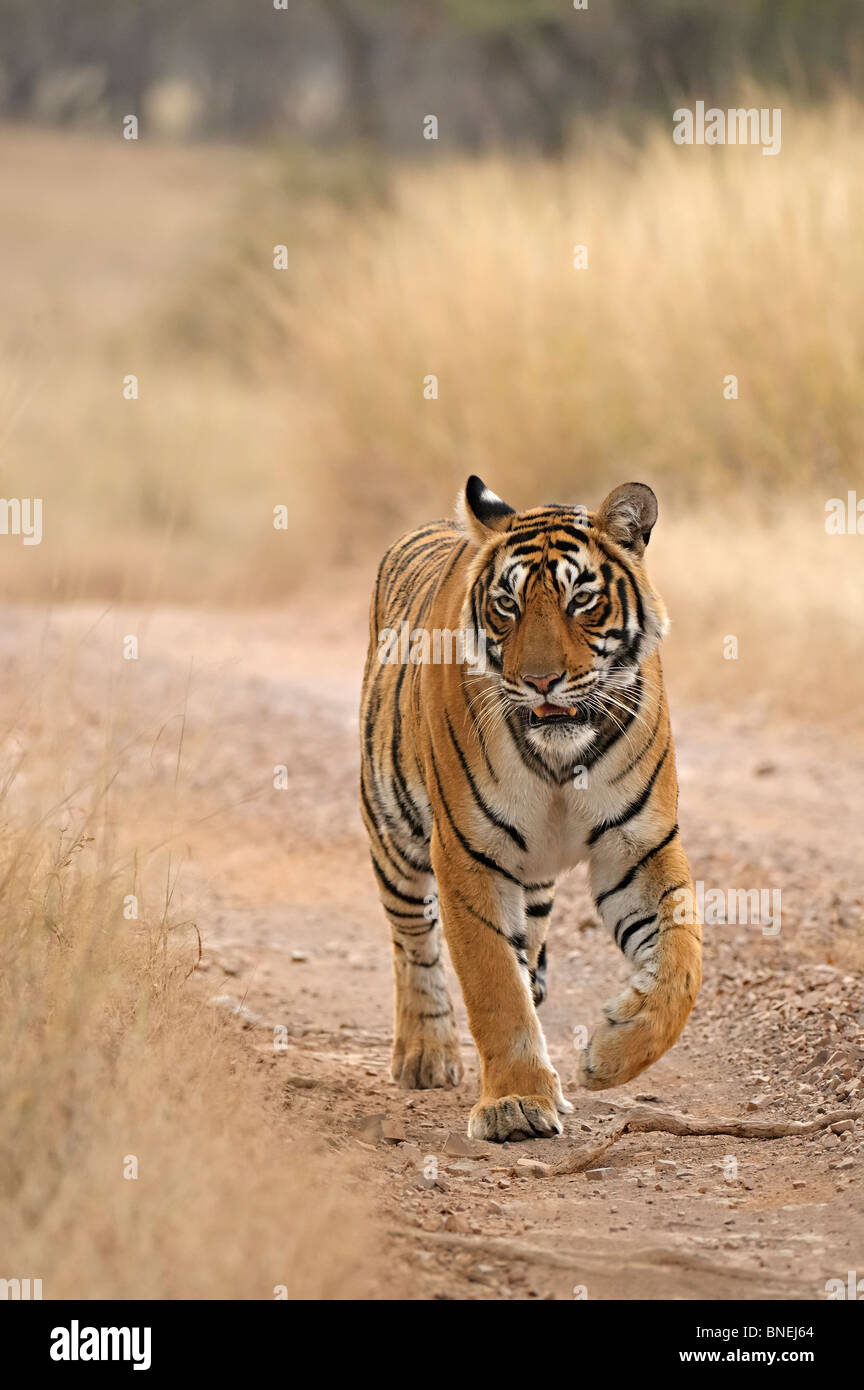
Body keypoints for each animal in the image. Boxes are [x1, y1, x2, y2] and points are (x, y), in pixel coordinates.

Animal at [360, 477, 701, 1142]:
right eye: (507, 605)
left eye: (581, 600)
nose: (542, 681)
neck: (560, 762)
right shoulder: (468, 854)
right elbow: (494, 984)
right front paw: (515, 1103)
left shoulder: (640, 846)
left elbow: (681, 962)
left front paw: (610, 1053)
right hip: (393, 833)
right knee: (412, 941)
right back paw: (425, 1052)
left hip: (535, 881)